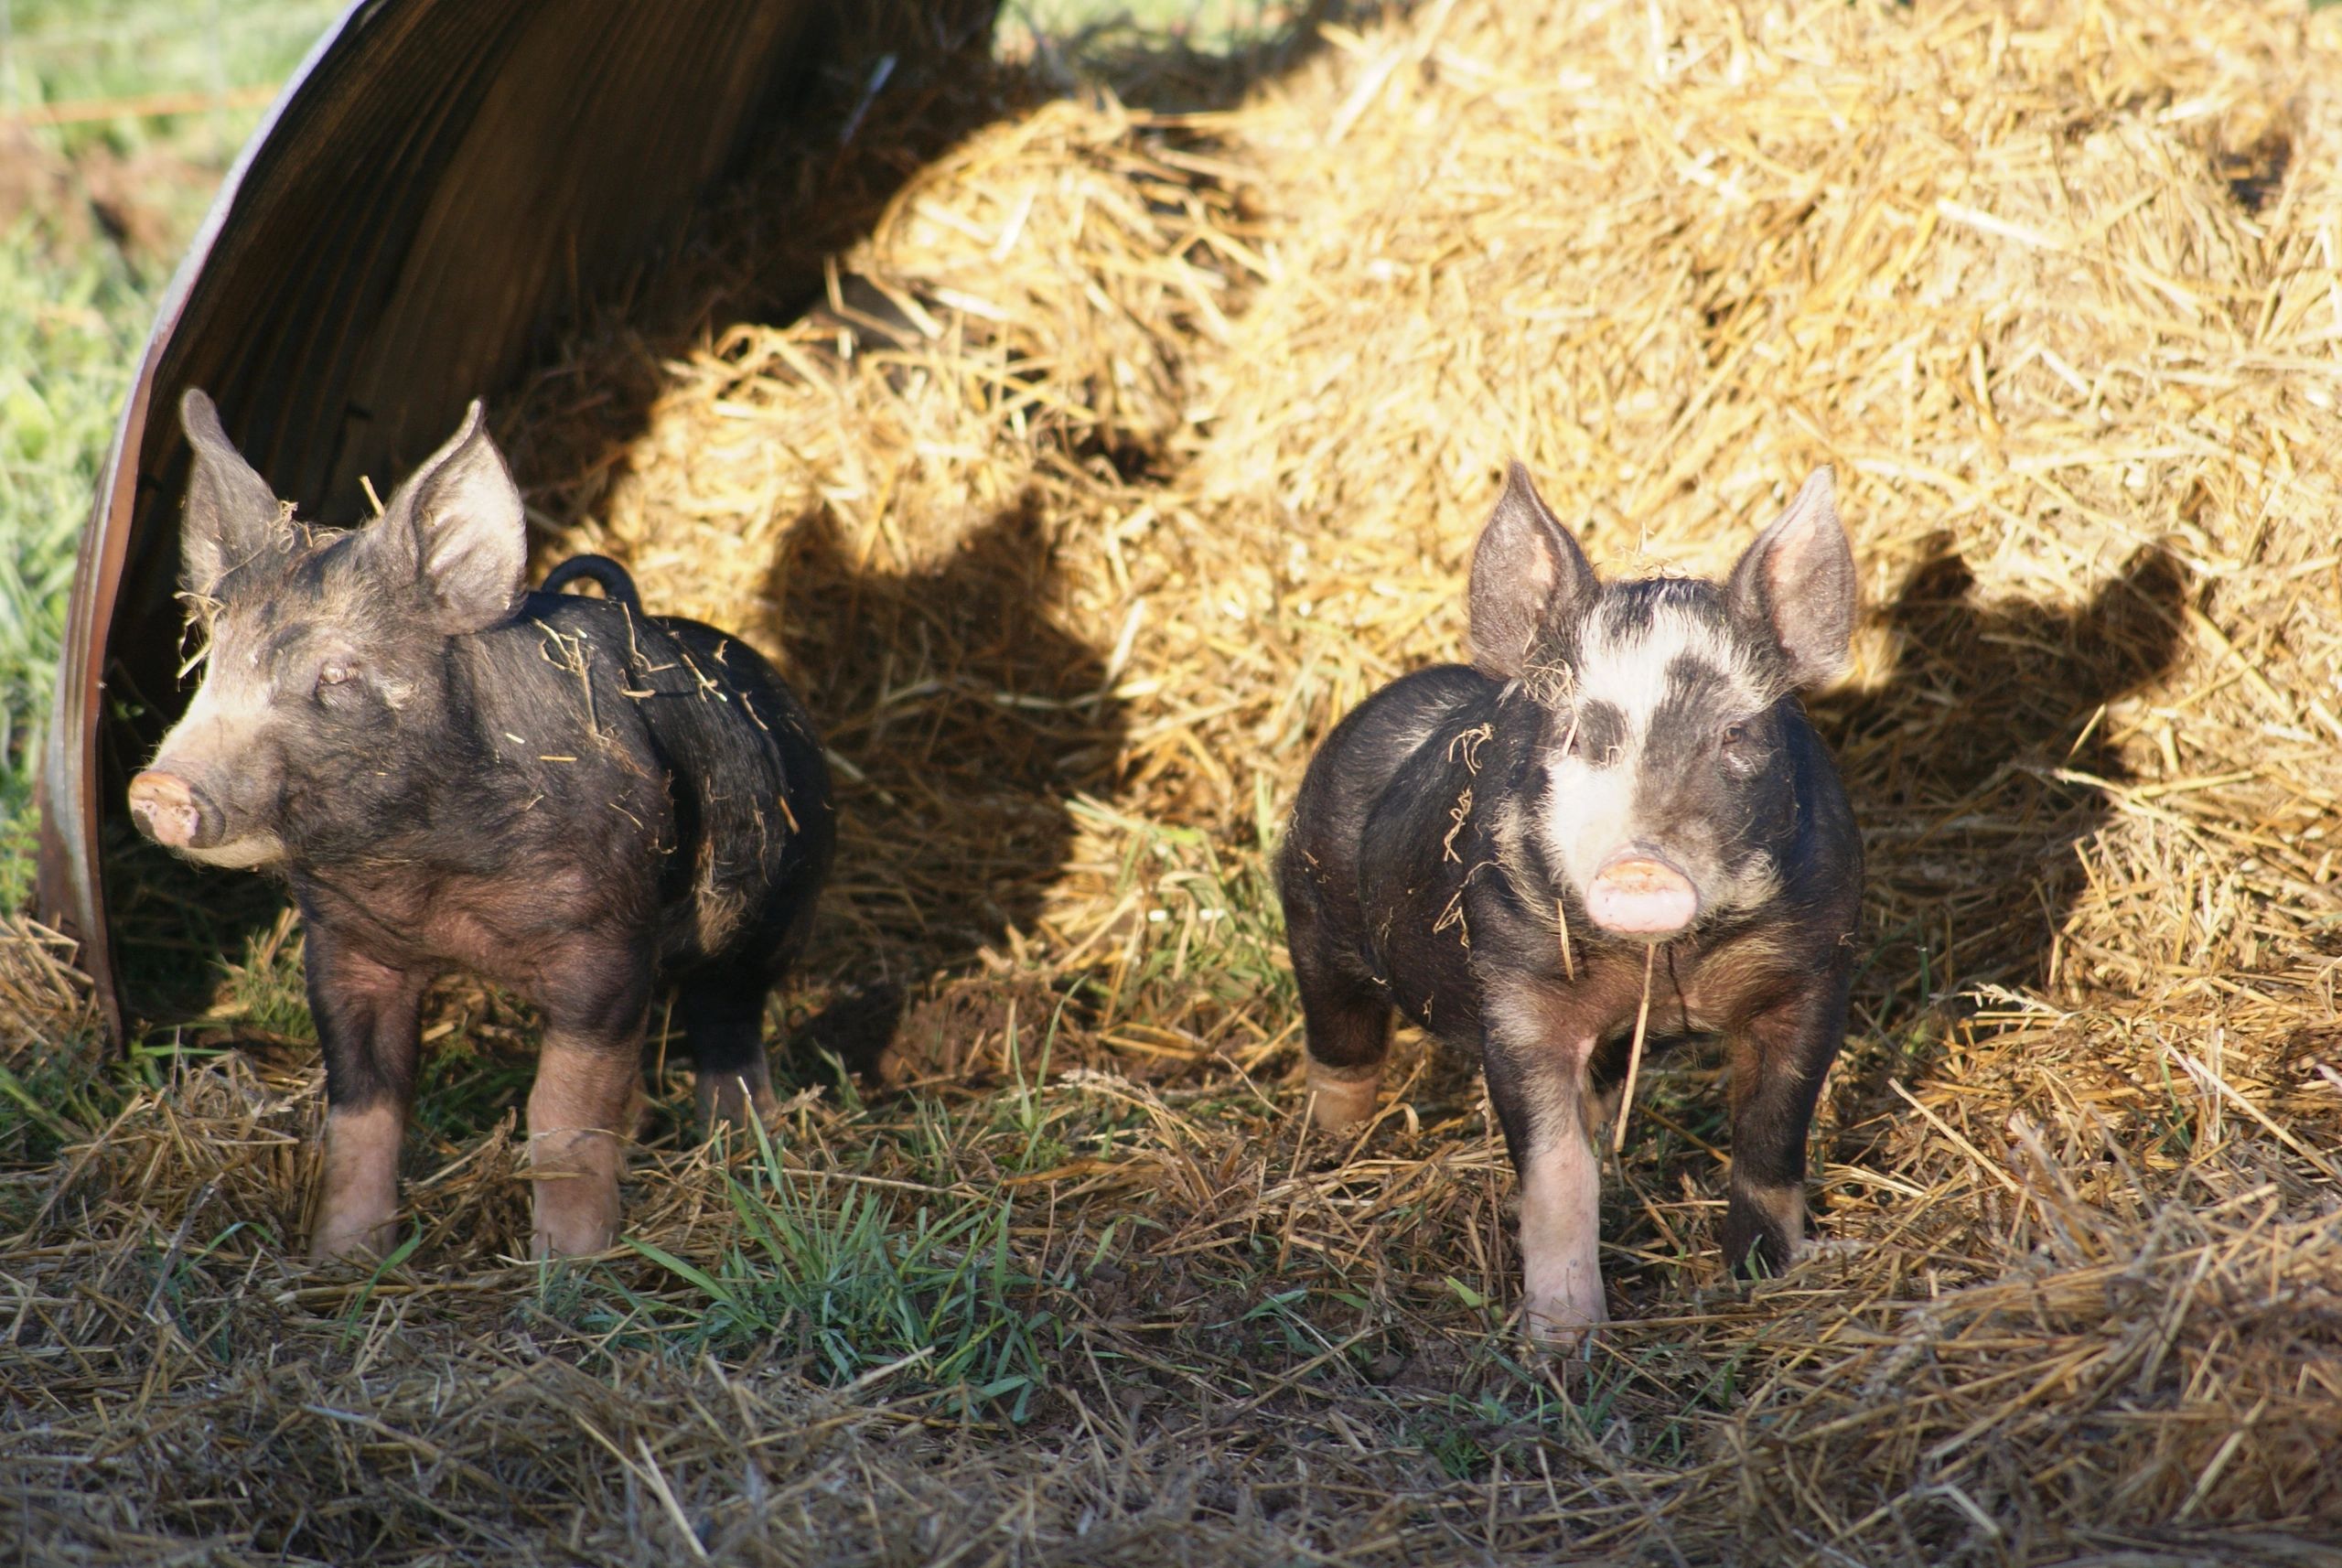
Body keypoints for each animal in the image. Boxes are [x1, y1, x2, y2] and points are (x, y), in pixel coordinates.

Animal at [127, 389, 834, 1262]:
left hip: (777, 907)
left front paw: (568, 1267)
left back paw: (748, 1158)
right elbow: (362, 1106)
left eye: (339, 673)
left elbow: (563, 1113)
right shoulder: (346, 948)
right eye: (211, 658)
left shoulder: (608, 942)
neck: (429, 886)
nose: (159, 784)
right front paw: (341, 1258)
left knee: (730, 1024)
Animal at [1276, 462, 1860, 1346]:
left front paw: (1763, 1280)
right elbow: (1558, 1172)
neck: (1667, 963)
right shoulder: (1517, 989)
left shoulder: (1812, 974)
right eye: (1577, 735)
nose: (1642, 868)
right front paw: (1562, 1344)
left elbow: (1770, 1139)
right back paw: (1334, 1153)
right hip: (1311, 915)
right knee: (1340, 1048)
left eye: (1734, 734)